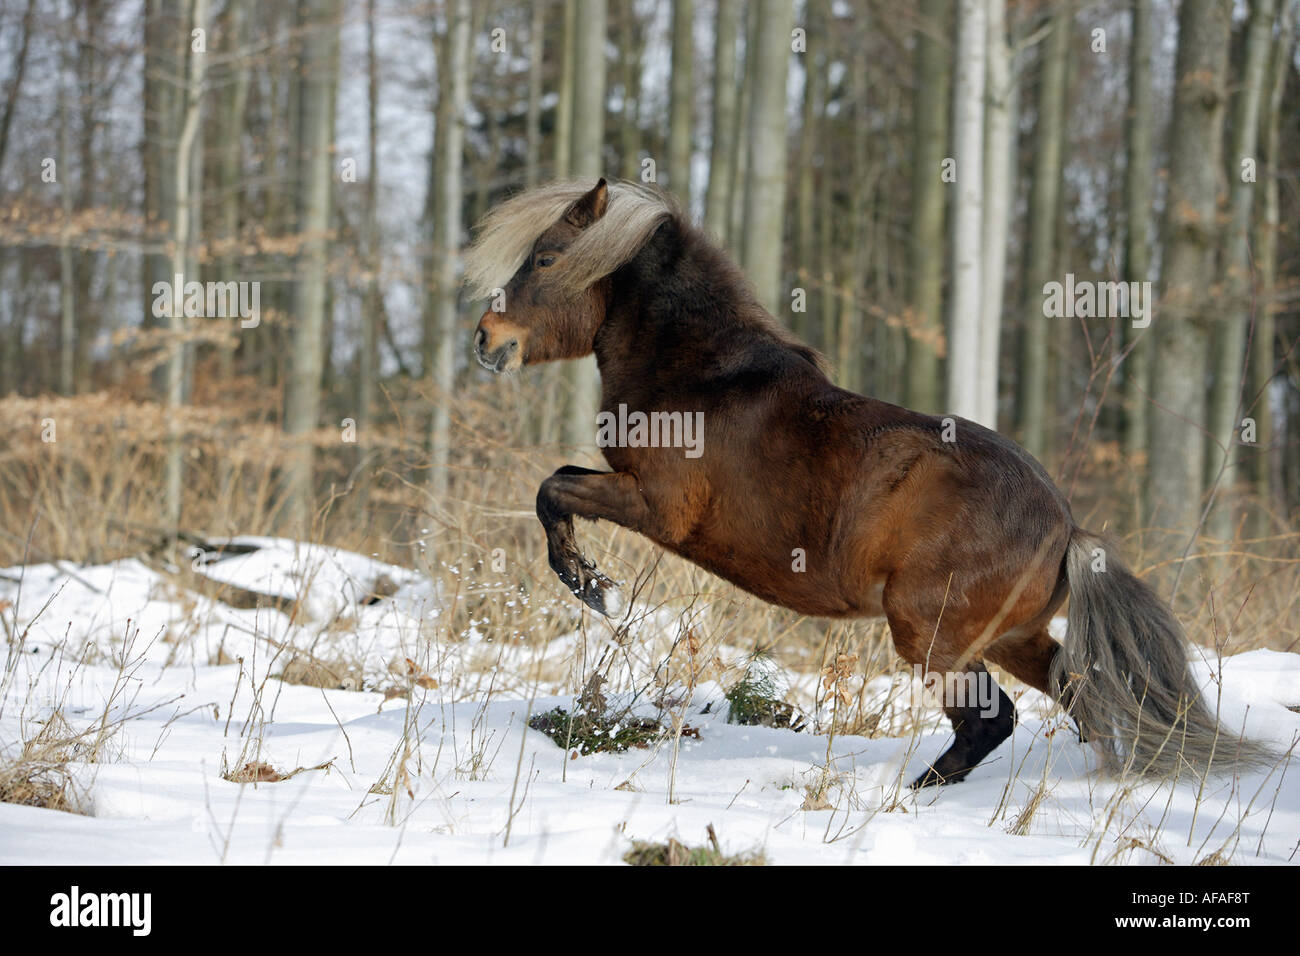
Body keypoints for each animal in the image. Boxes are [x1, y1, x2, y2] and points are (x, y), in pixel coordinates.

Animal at [465, 177, 1261, 788]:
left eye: (546, 257)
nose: (484, 340)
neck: (703, 376)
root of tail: (1069, 529)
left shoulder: (657, 508)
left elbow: (551, 491)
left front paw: (589, 585)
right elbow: (557, 484)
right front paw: (590, 582)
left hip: (930, 635)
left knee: (992, 720)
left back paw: (917, 790)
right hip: (1009, 638)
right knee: (1078, 695)